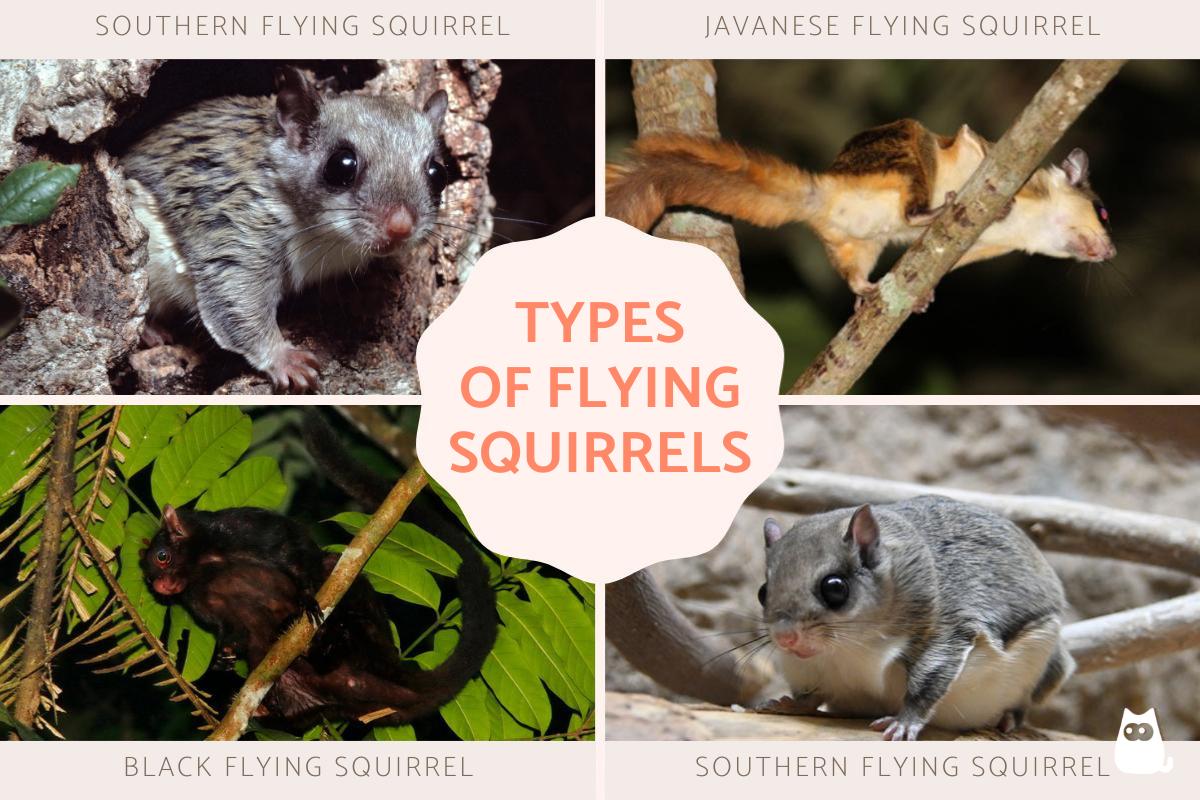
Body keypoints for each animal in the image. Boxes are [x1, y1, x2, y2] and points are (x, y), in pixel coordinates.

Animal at [122, 66, 450, 392]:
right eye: (341, 165)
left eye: (438, 173)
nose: (401, 226)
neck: (329, 239)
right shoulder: (236, 228)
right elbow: (238, 303)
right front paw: (283, 358)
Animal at [607, 120, 1115, 300]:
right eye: (1103, 212)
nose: (1110, 254)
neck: (1029, 230)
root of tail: (826, 188)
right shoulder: (988, 152)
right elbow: (975, 141)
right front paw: (1004, 199)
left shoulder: (983, 248)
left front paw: (925, 295)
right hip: (903, 152)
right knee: (919, 161)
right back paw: (926, 214)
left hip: (855, 243)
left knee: (854, 267)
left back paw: (865, 290)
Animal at [757, 496, 1074, 741]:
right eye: (763, 592)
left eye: (835, 588)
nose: (786, 639)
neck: (849, 645)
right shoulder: (810, 670)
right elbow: (811, 696)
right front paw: (788, 704)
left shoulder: (948, 631)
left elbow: (925, 685)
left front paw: (904, 722)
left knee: (1023, 703)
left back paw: (1008, 718)